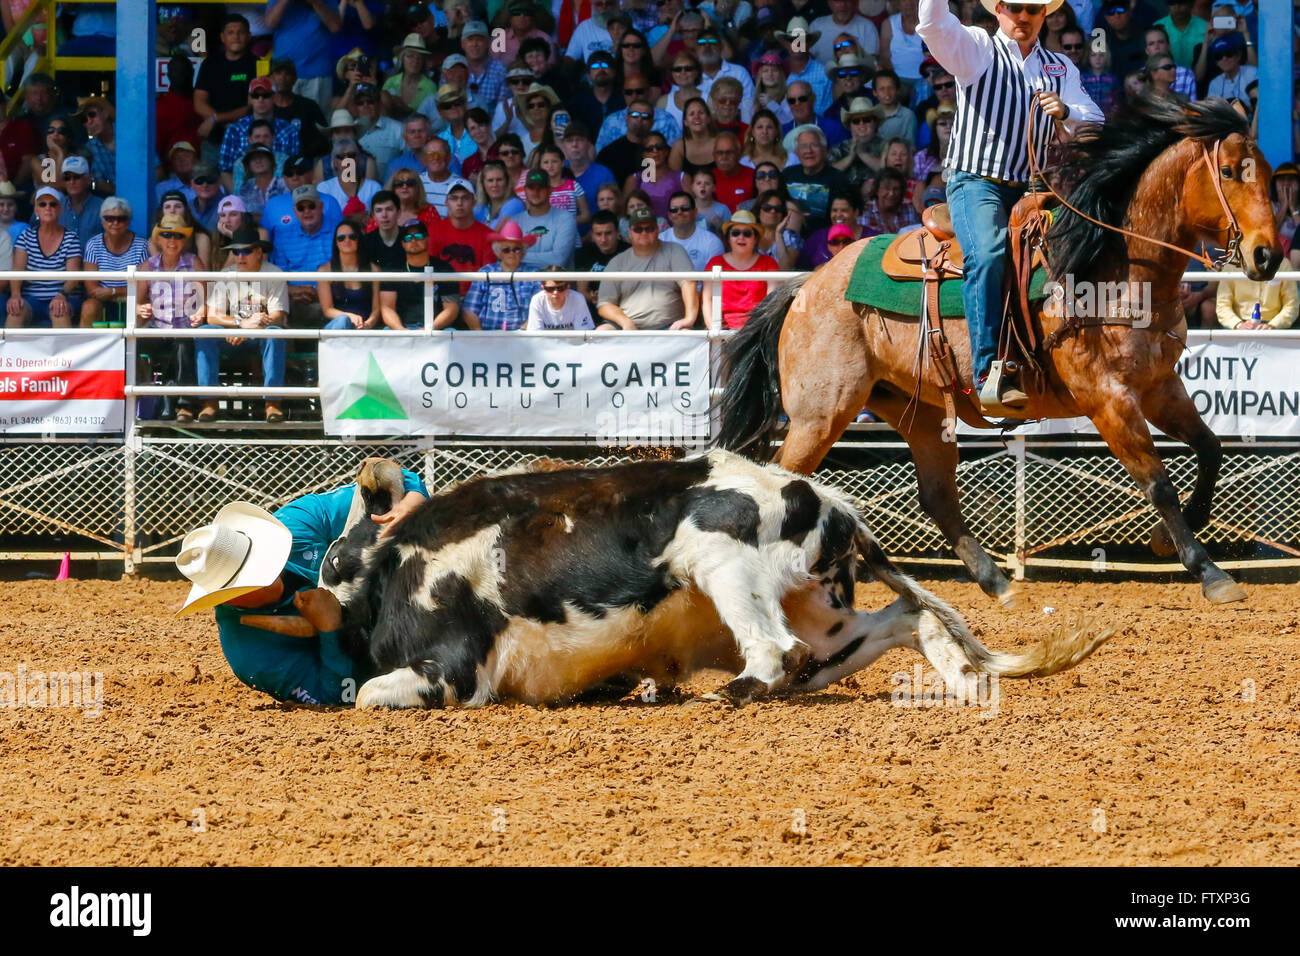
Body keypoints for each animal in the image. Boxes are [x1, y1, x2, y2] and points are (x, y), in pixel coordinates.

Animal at [315, 452, 1110, 709]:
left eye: (329, 562)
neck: (395, 565)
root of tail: (826, 499)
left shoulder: (453, 669)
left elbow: (371, 696)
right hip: (822, 613)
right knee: (900, 623)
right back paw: (965, 685)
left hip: (724, 568)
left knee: (774, 653)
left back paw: (724, 695)